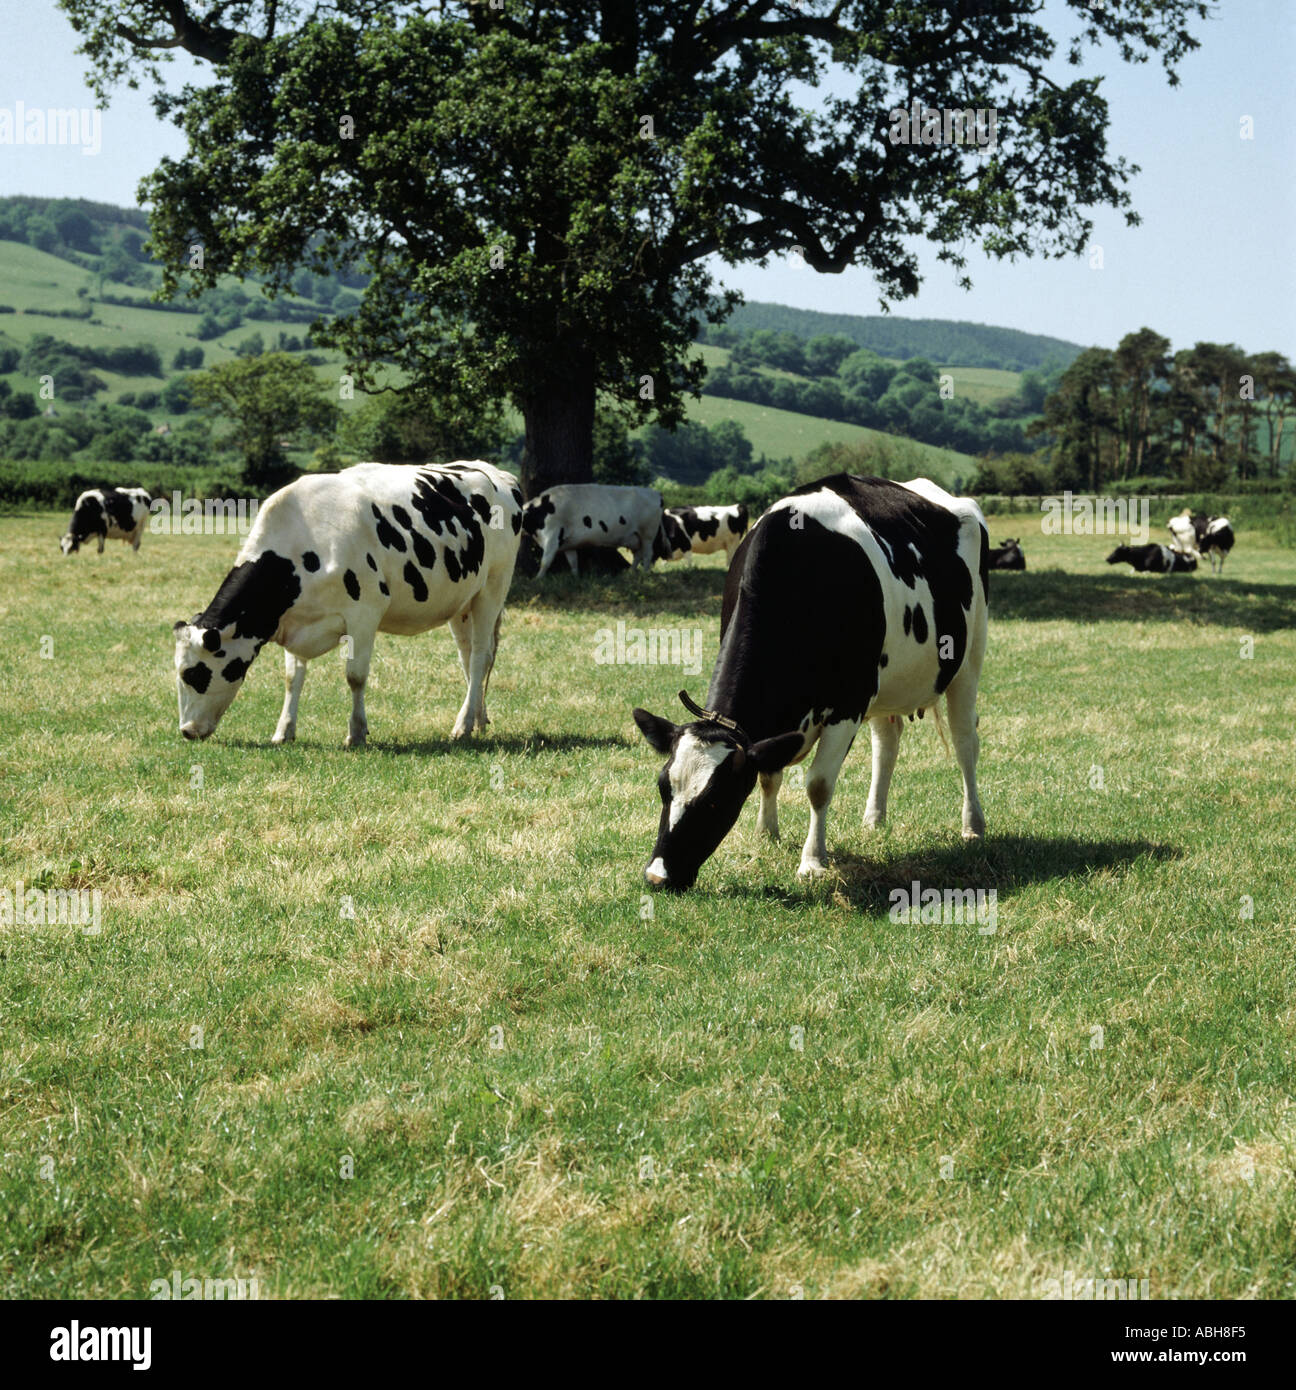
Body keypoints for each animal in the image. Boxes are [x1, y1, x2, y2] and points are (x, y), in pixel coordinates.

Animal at [173, 461, 522, 745]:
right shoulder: (293, 621)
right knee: (469, 656)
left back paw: (462, 726)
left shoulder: (364, 614)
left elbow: (355, 676)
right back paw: (477, 719)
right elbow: (292, 679)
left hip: (493, 587)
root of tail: (497, 473)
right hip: (463, 602)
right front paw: (284, 731)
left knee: (480, 656)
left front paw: (357, 733)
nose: (186, 731)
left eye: (192, 674)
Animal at [522, 483, 662, 576]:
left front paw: (538, 579)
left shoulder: (552, 536)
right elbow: (573, 562)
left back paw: (645, 574)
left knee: (648, 554)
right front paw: (575, 577)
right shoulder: (568, 544)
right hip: (634, 536)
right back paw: (631, 574)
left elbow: (545, 561)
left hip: (647, 534)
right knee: (637, 555)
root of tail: (656, 493)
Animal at [632, 474, 989, 890]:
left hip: (968, 658)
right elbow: (769, 774)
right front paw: (766, 832)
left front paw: (813, 861)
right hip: (886, 681)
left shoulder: (849, 701)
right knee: (887, 742)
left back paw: (973, 825)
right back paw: (874, 819)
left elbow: (818, 785)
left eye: (716, 799)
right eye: (663, 787)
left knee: (965, 741)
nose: (657, 876)